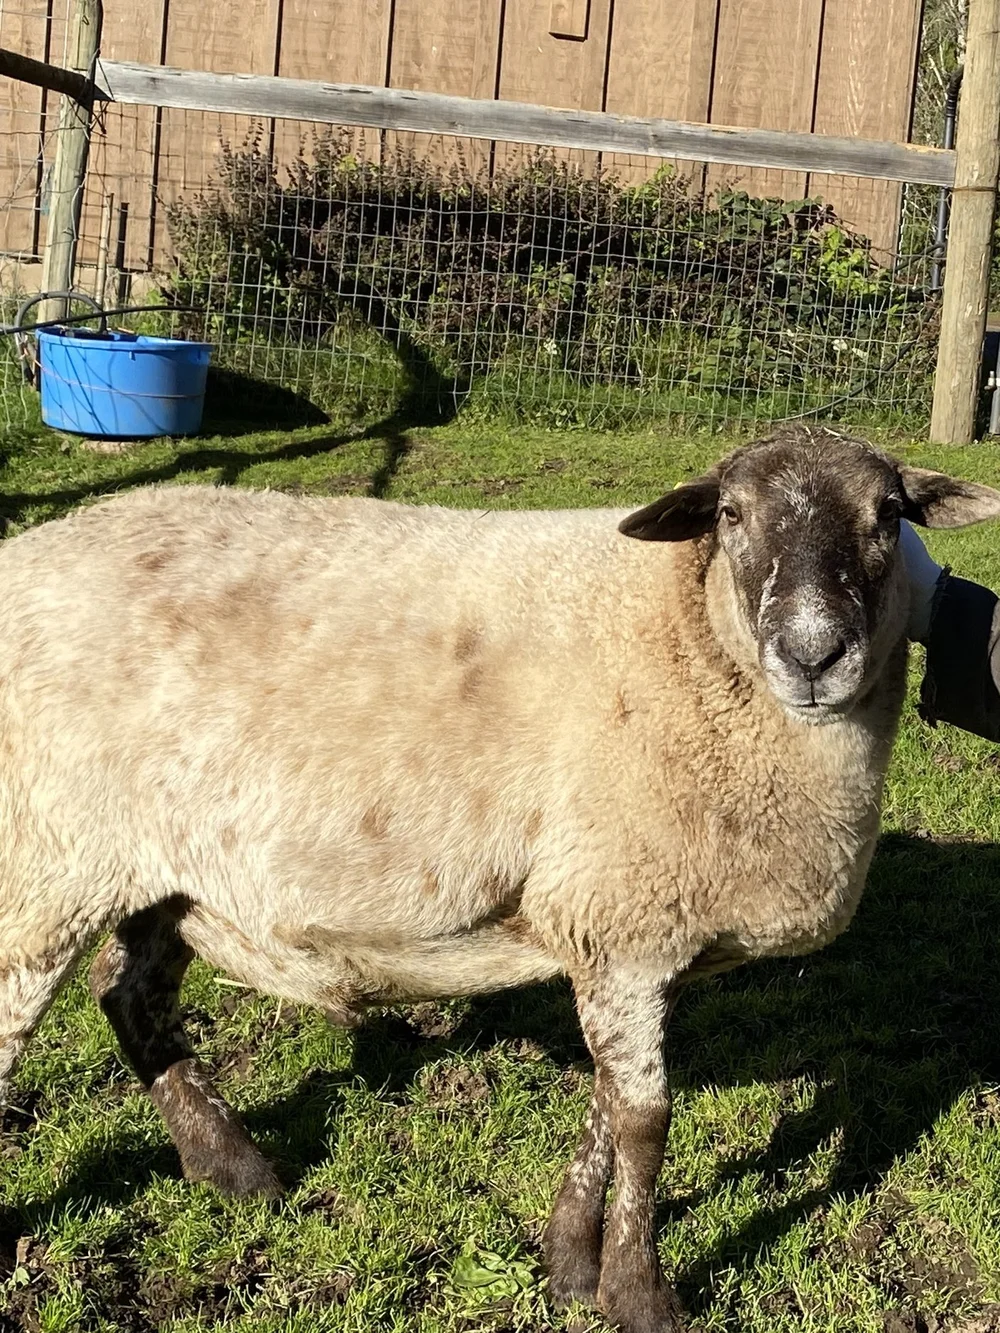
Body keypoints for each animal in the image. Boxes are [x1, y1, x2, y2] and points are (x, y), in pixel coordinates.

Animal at [1, 424, 998, 1333]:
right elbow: (646, 1121)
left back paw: (234, 1168)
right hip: (44, 859)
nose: (812, 653)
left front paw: (569, 1265)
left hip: (150, 865)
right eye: (730, 513)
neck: (687, 630)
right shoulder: (624, 916)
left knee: (130, 993)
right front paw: (640, 1296)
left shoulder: (623, 928)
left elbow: (609, 1107)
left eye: (887, 516)